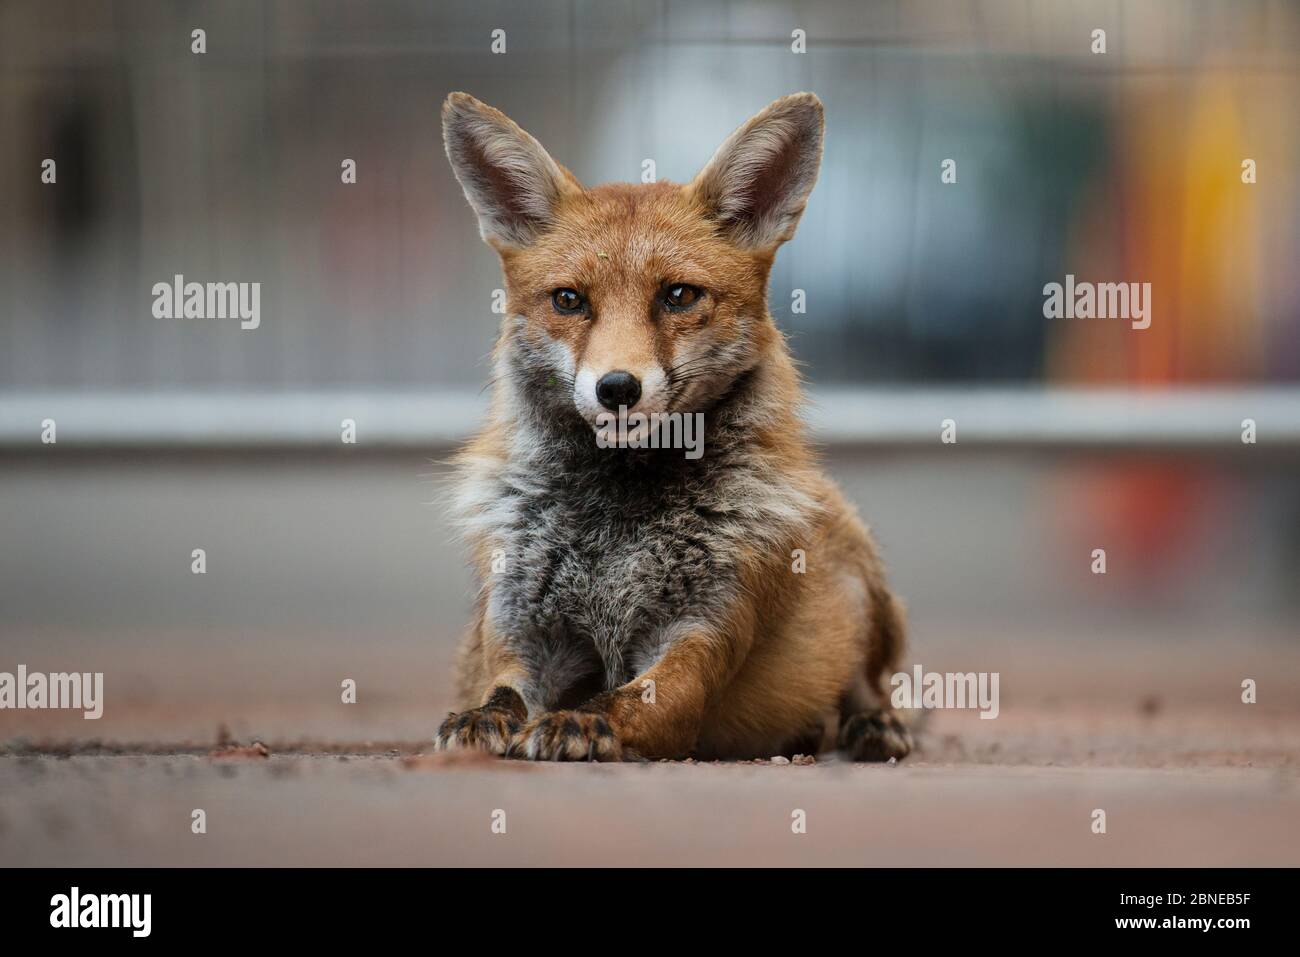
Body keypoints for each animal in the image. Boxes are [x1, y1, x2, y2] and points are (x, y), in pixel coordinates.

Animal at [435, 91, 913, 762]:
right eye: (569, 301)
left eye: (679, 295)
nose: (616, 389)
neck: (615, 523)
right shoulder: (520, 626)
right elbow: (501, 691)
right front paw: (483, 718)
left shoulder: (701, 635)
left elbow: (622, 700)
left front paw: (577, 722)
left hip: (864, 583)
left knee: (869, 683)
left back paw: (870, 725)